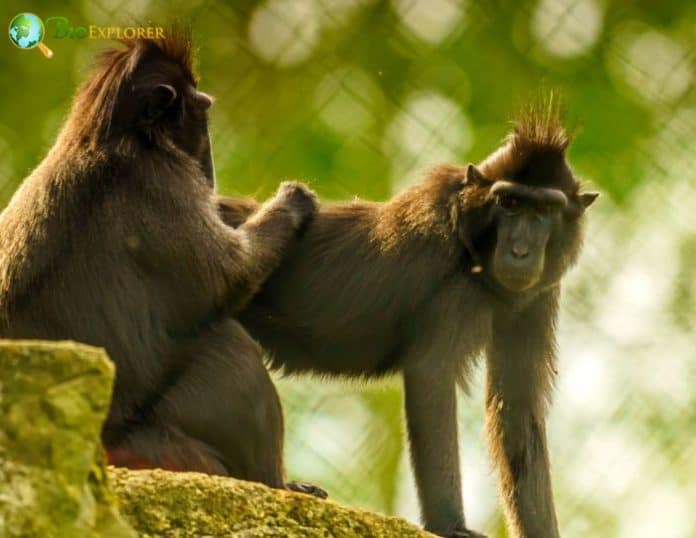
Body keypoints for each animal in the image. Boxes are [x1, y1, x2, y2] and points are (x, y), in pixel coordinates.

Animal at [0, 29, 325, 497]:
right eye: (202, 108)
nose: (210, 169)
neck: (109, 137)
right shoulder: (161, 180)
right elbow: (229, 278)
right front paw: (293, 203)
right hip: (161, 443)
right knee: (229, 346)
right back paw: (274, 484)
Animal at [217, 103, 598, 537]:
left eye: (546, 209)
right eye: (511, 203)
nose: (520, 251)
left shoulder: (537, 297)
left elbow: (517, 412)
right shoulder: (453, 285)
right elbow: (432, 375)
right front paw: (451, 526)